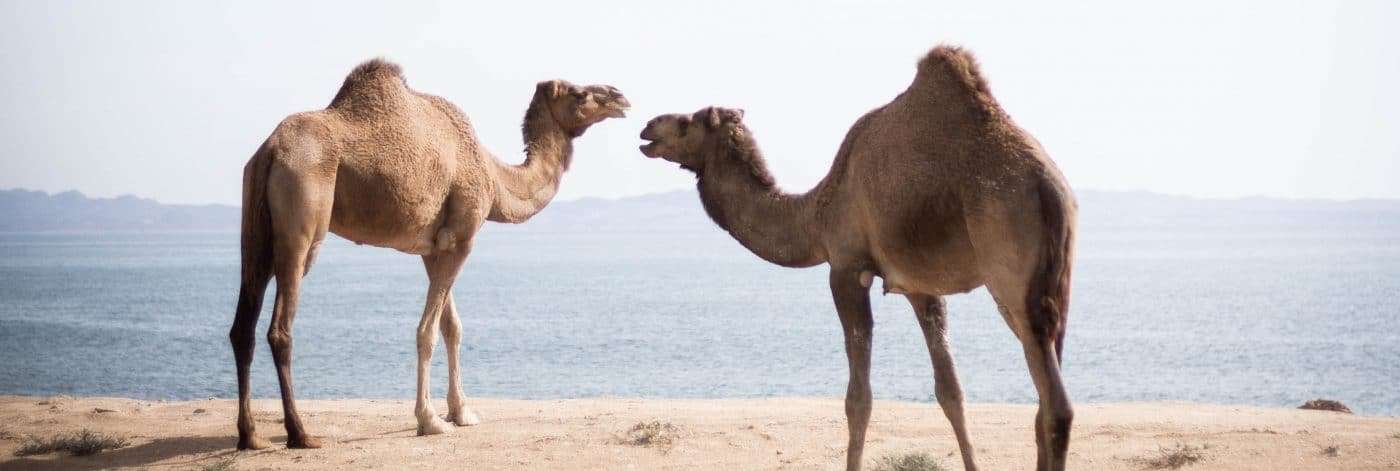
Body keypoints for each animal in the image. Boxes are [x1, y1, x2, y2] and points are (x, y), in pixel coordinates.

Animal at [229, 59, 628, 450]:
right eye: (578, 93)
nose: (619, 96)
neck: (493, 176)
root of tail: (271, 151)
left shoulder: (434, 248)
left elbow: (452, 327)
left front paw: (462, 411)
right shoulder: (462, 238)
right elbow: (428, 332)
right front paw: (430, 420)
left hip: (256, 226)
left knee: (242, 325)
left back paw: (251, 436)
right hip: (302, 220)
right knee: (281, 328)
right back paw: (300, 434)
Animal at [639, 46, 1076, 471]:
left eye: (687, 122)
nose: (648, 127)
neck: (816, 214)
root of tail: (1049, 189)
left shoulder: (848, 268)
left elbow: (858, 399)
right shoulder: (920, 287)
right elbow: (950, 390)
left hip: (1010, 275)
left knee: (1057, 408)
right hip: (1055, 284)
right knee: (1043, 396)